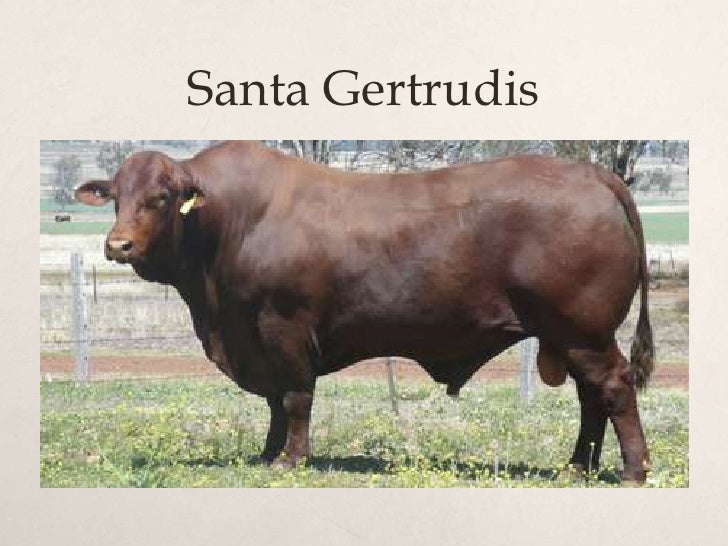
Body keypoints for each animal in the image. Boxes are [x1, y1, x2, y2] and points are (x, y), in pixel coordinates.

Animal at [75, 140, 654, 483]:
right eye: (117, 196)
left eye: (162, 196)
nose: (118, 245)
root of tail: (590, 175)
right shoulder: (257, 338)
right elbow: (274, 403)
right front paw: (267, 453)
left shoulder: (284, 327)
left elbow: (294, 397)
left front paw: (291, 458)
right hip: (568, 336)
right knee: (591, 398)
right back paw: (577, 467)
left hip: (582, 330)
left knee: (613, 389)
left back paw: (632, 469)